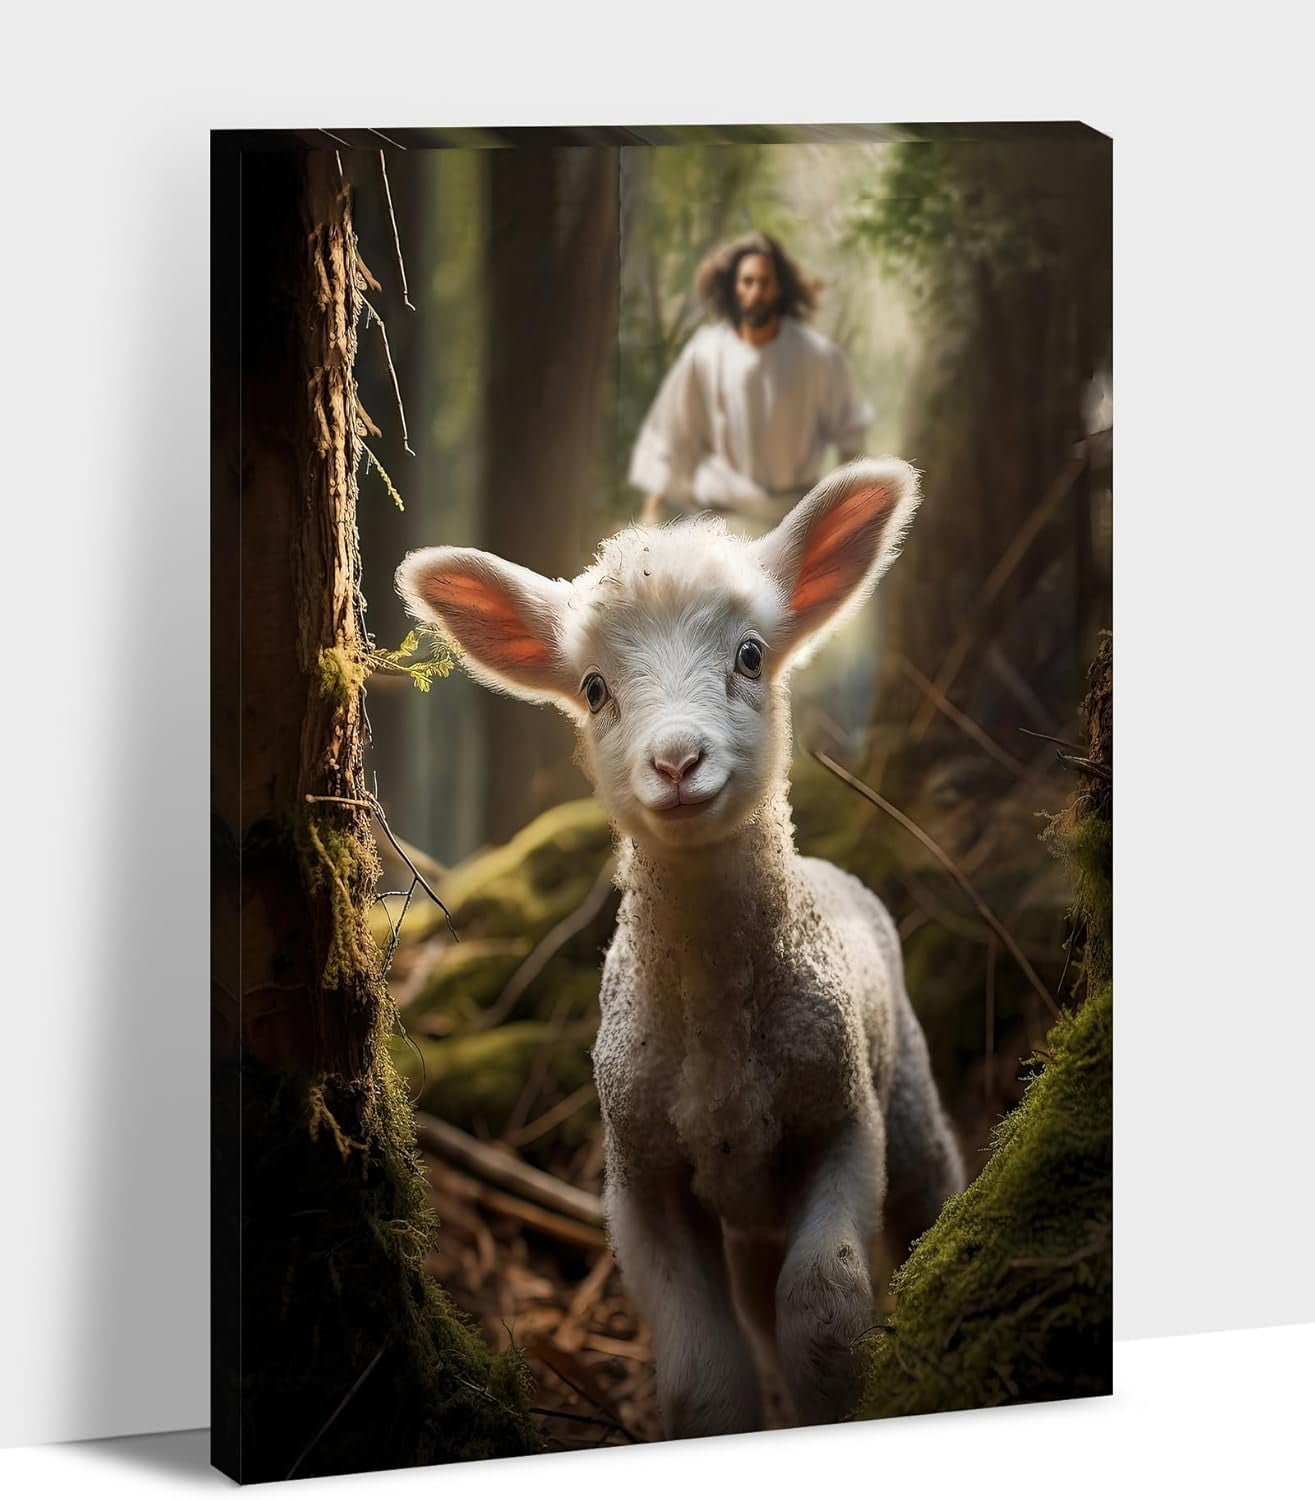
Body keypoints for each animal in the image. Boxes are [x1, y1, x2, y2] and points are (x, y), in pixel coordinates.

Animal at [396, 458, 965, 1439]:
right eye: (592, 688)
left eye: (749, 656)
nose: (674, 762)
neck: (718, 1043)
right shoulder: (640, 1175)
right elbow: (704, 1375)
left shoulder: (841, 1121)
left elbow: (824, 1307)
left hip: (906, 1096)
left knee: (932, 1191)